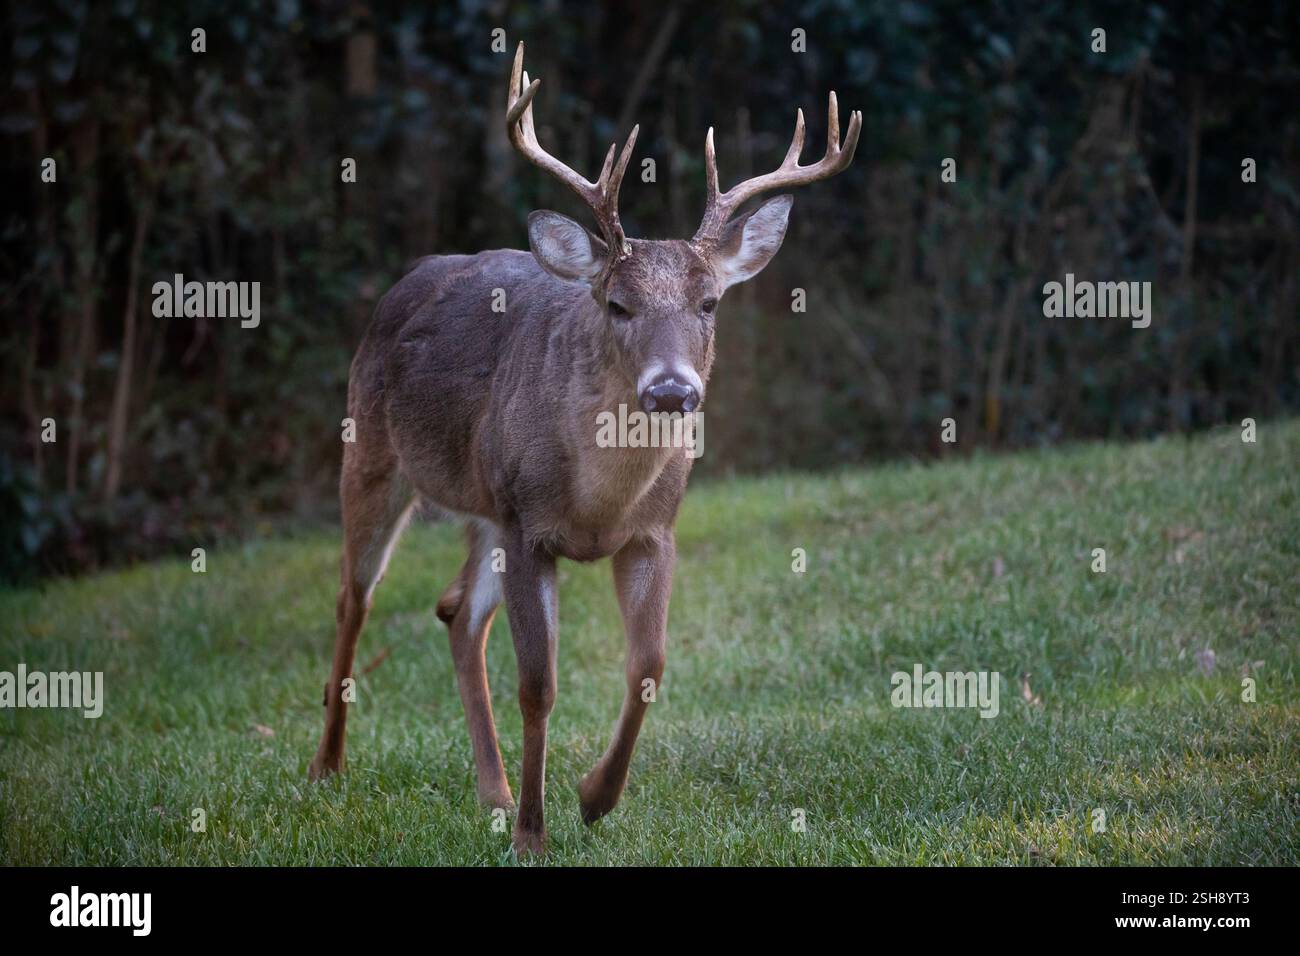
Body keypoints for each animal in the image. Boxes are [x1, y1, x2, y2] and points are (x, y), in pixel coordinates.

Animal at [308, 42, 860, 856]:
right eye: (617, 304)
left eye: (709, 302)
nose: (672, 391)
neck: (598, 501)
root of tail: (408, 280)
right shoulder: (527, 528)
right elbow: (539, 686)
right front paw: (534, 838)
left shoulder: (653, 531)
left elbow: (649, 665)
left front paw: (593, 798)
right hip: (373, 453)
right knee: (354, 597)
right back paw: (329, 767)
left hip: (484, 507)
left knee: (456, 612)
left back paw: (495, 792)